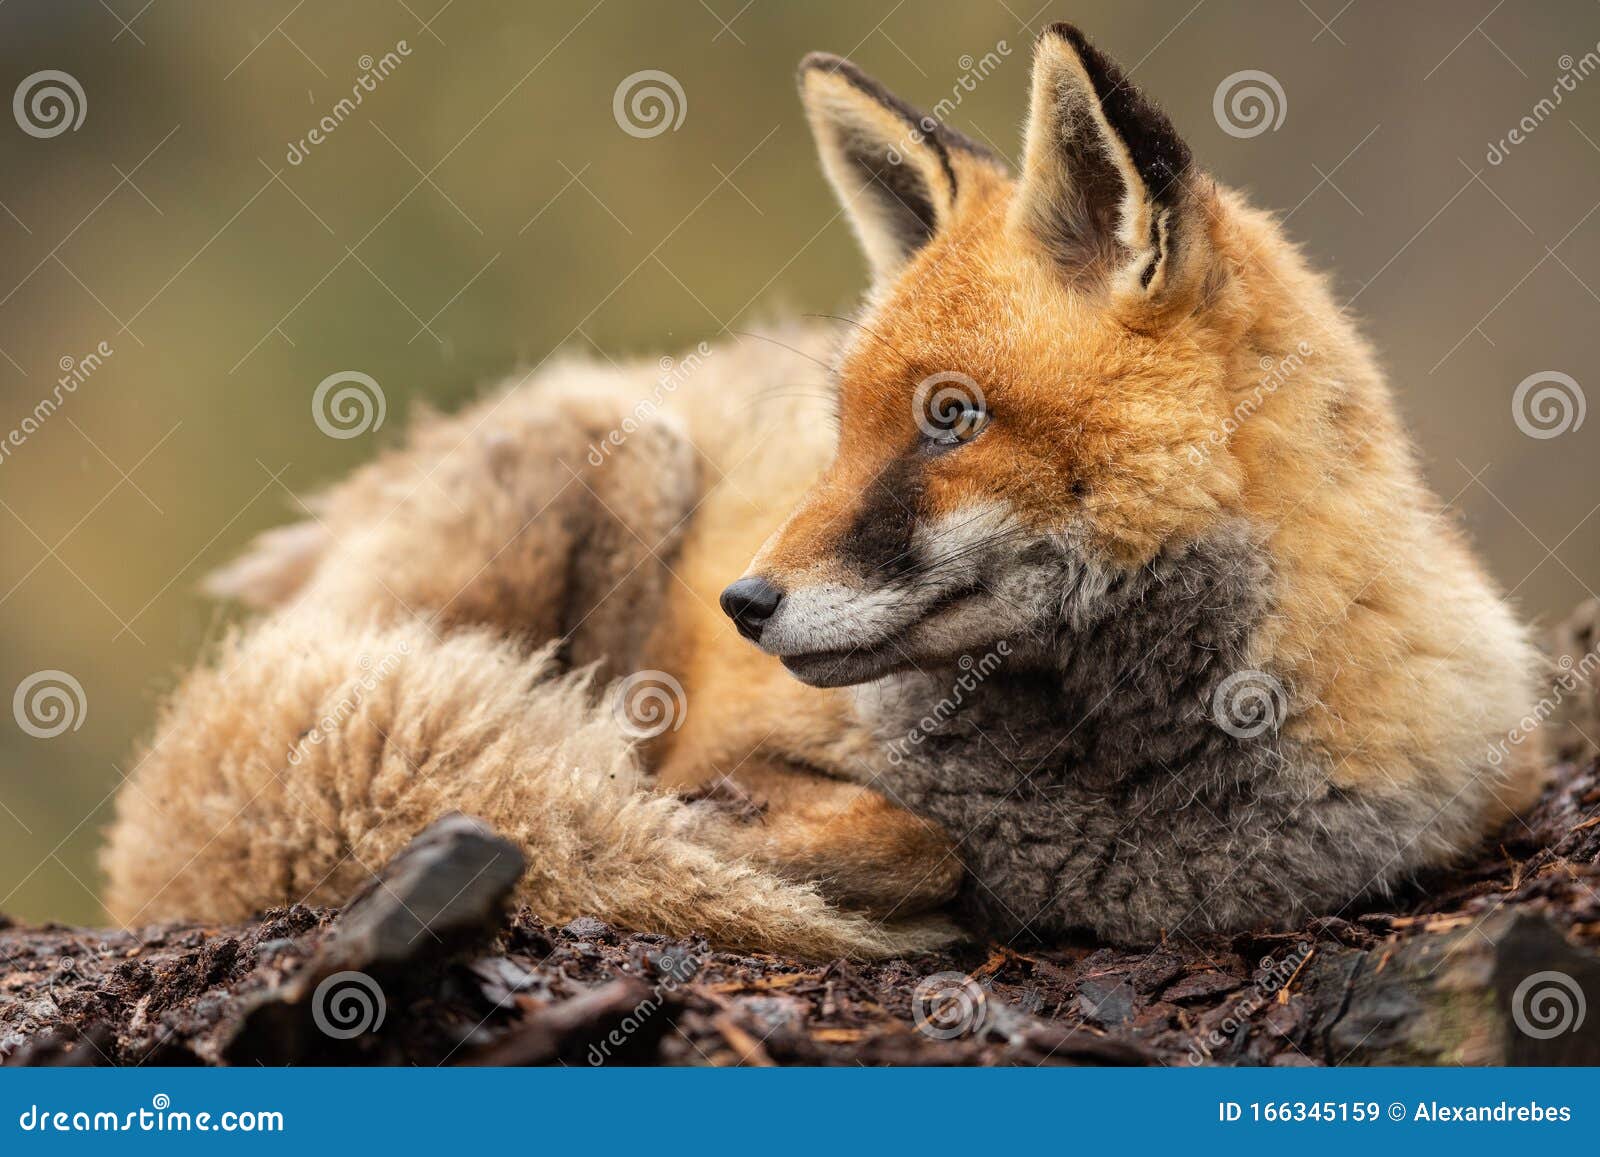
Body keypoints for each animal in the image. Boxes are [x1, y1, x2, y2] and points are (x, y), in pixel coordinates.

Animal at [102, 25, 1546, 957]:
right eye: (838, 426)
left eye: (951, 418)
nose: (744, 603)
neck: (1120, 802)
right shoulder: (739, 743)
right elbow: (902, 839)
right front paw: (715, 842)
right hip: (617, 466)